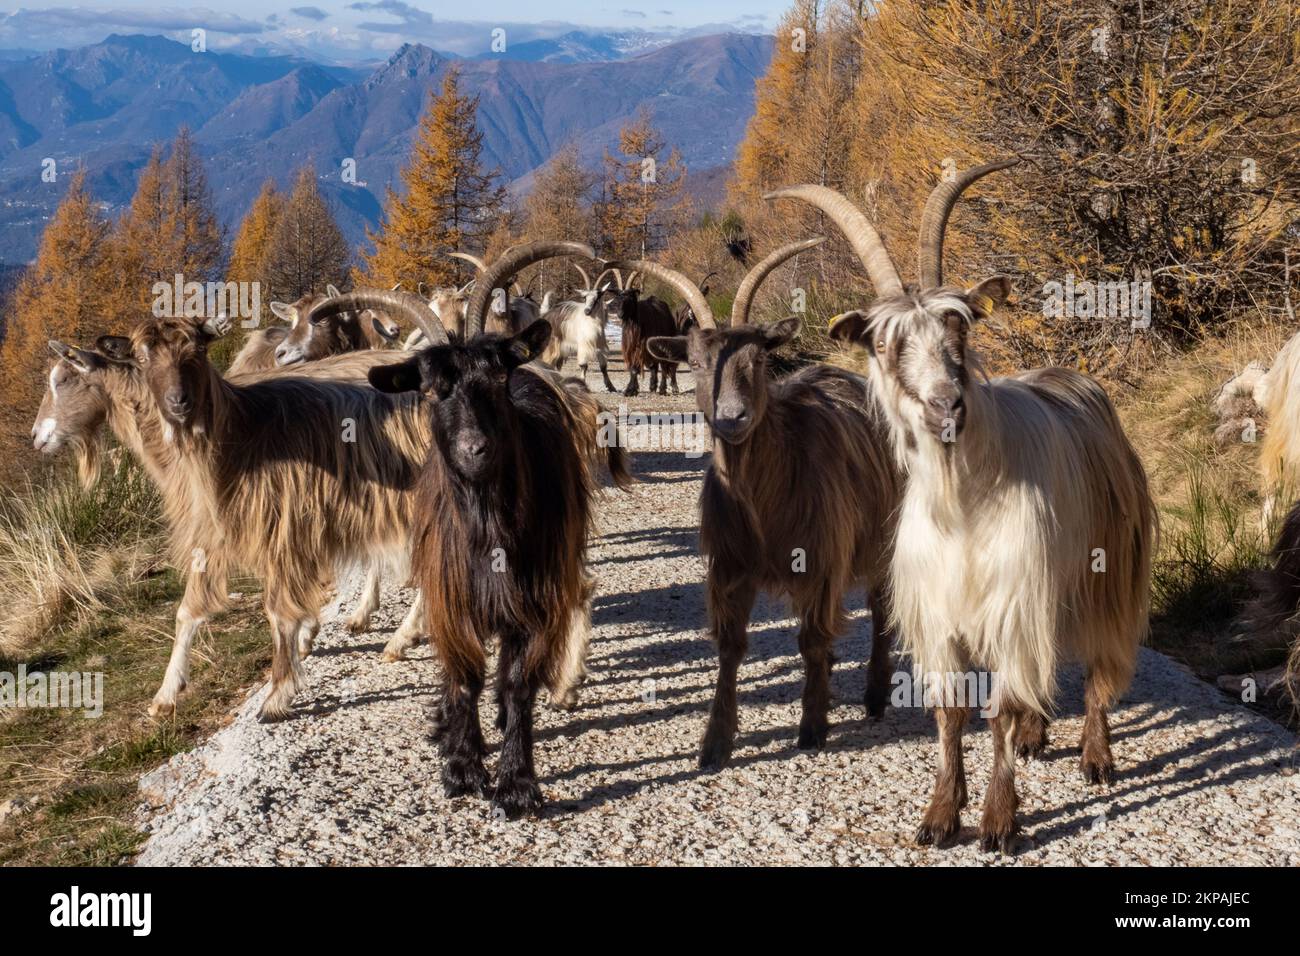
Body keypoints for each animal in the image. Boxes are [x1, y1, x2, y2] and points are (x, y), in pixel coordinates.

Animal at [371, 240, 631, 818]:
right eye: (430, 392)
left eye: (496, 380)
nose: (475, 449)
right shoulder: (450, 599)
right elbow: (463, 675)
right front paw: (463, 767)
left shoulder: (534, 598)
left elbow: (516, 682)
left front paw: (515, 783)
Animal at [637, 239, 900, 768]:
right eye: (696, 363)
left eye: (757, 361)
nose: (732, 417)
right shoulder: (729, 566)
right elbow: (731, 647)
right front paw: (715, 742)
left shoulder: (821, 561)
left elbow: (812, 639)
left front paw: (813, 726)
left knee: (880, 607)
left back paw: (876, 694)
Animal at [780, 162, 1156, 852]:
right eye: (884, 343)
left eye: (960, 326)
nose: (945, 405)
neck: (964, 503)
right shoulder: (940, 615)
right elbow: (951, 713)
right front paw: (939, 814)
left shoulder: (1015, 599)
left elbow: (999, 709)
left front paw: (1000, 820)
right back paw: (1039, 736)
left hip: (1109, 565)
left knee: (1099, 661)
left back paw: (1095, 755)